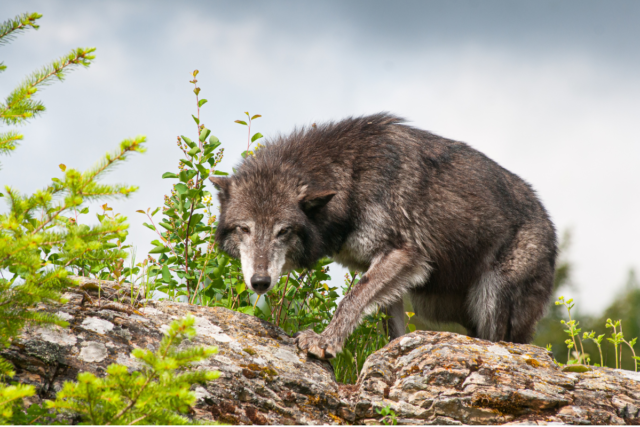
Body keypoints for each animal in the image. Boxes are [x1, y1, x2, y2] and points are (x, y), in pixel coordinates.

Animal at [209, 113, 556, 360]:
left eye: (284, 231)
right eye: (244, 228)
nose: (260, 282)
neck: (351, 179)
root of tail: (550, 226)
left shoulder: (404, 255)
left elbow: (351, 300)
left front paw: (324, 341)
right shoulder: (380, 268)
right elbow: (391, 325)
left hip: (491, 300)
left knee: (500, 344)